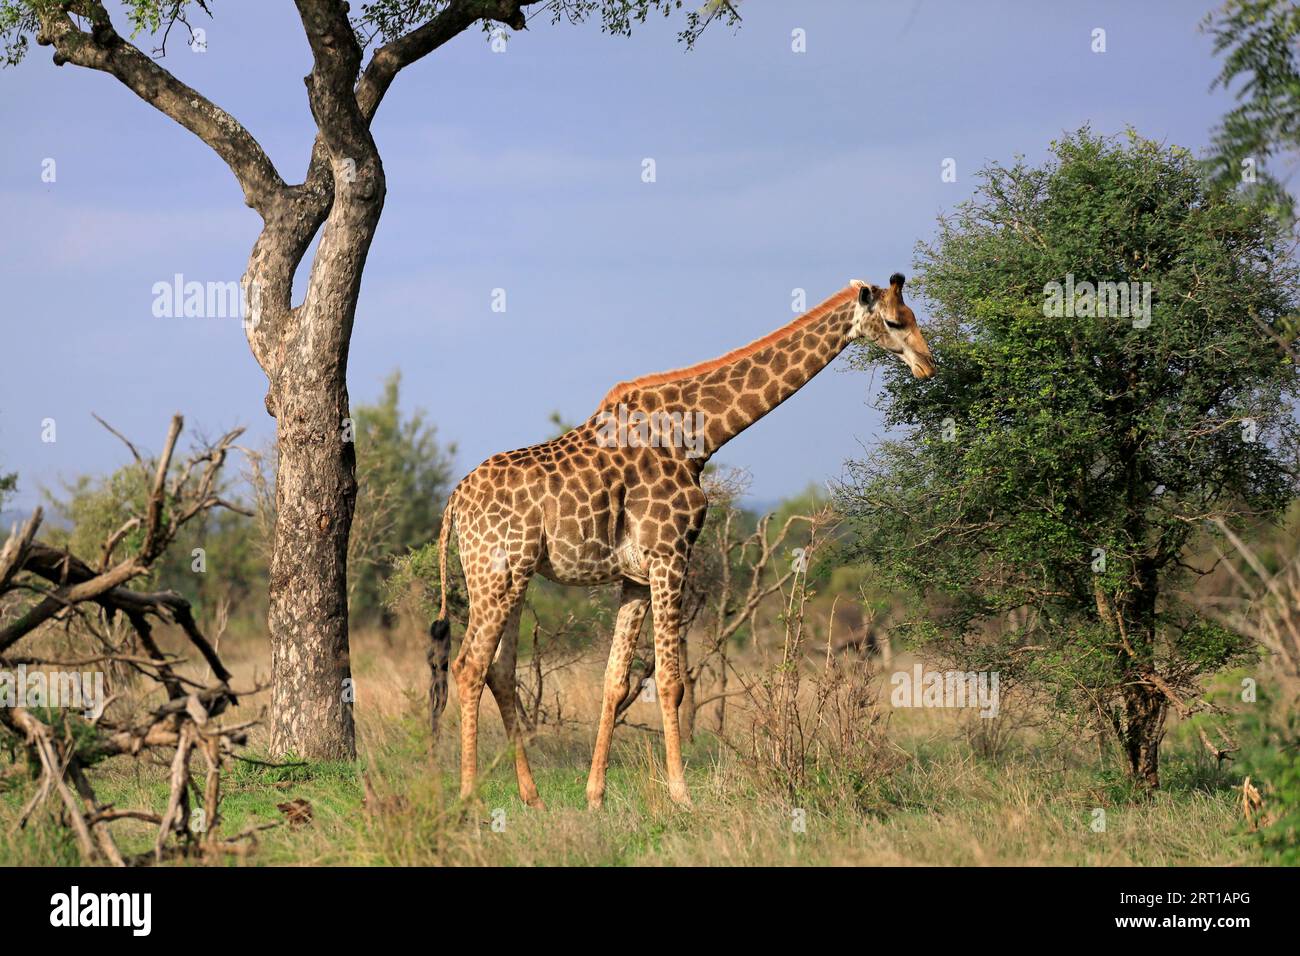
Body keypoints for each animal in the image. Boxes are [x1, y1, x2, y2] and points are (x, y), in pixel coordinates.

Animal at [428, 274, 934, 809]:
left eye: (912, 315)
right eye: (895, 321)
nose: (928, 364)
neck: (698, 437)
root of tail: (454, 502)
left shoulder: (634, 575)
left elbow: (615, 680)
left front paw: (594, 795)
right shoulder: (671, 554)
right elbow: (670, 683)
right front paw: (681, 795)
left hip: (514, 577)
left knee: (499, 671)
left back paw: (532, 797)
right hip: (495, 572)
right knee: (468, 665)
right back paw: (469, 796)